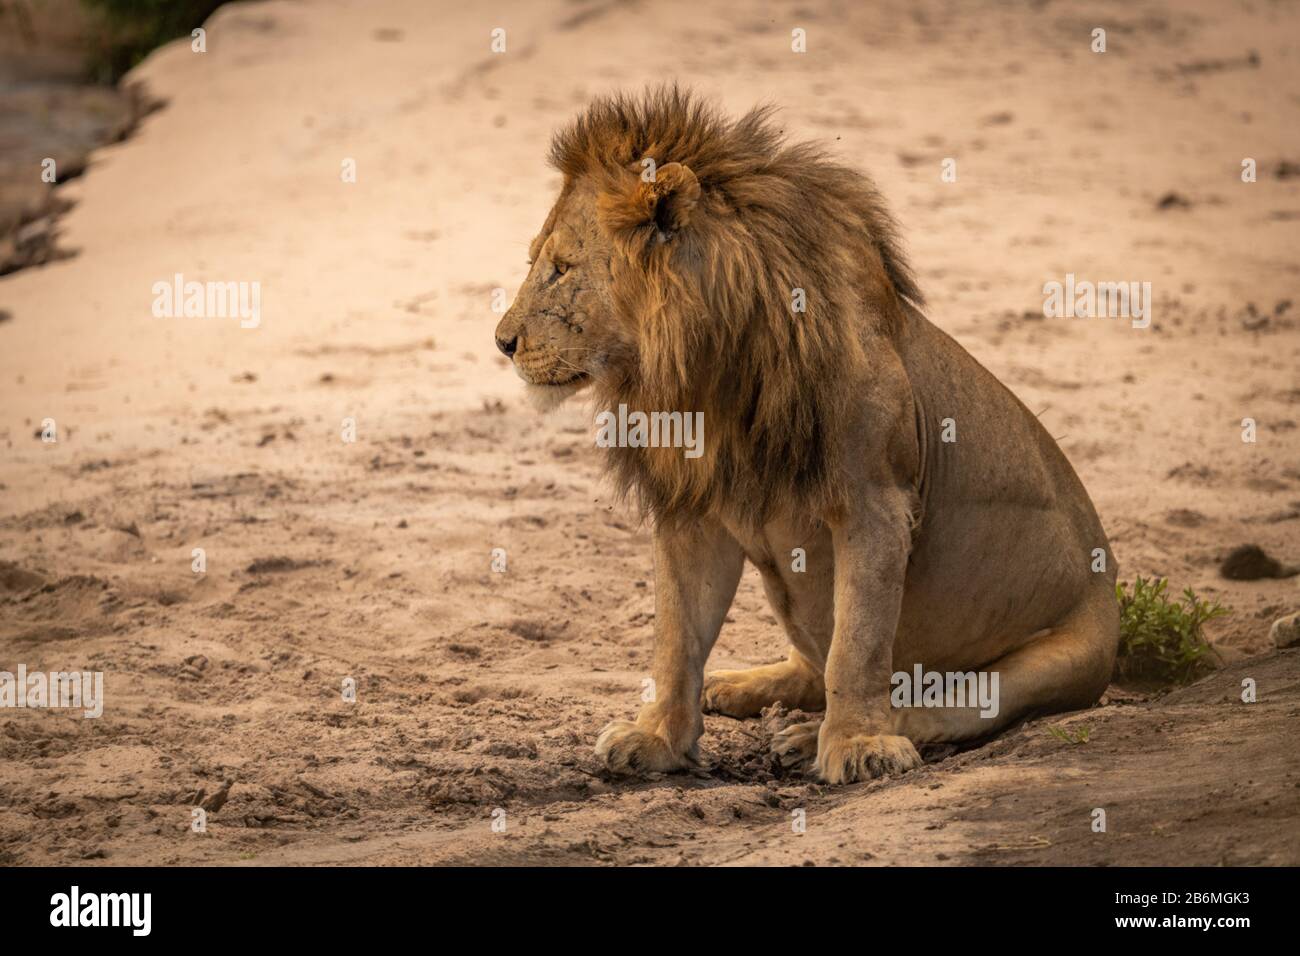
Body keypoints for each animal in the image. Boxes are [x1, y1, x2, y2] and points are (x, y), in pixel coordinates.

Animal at [494, 87, 1119, 784]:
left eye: (560, 268)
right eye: (539, 263)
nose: (501, 341)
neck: (702, 374)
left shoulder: (877, 504)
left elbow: (858, 647)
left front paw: (857, 745)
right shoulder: (693, 511)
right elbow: (676, 639)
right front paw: (655, 739)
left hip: (1058, 659)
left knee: (938, 704)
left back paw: (813, 736)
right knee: (808, 664)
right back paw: (741, 687)